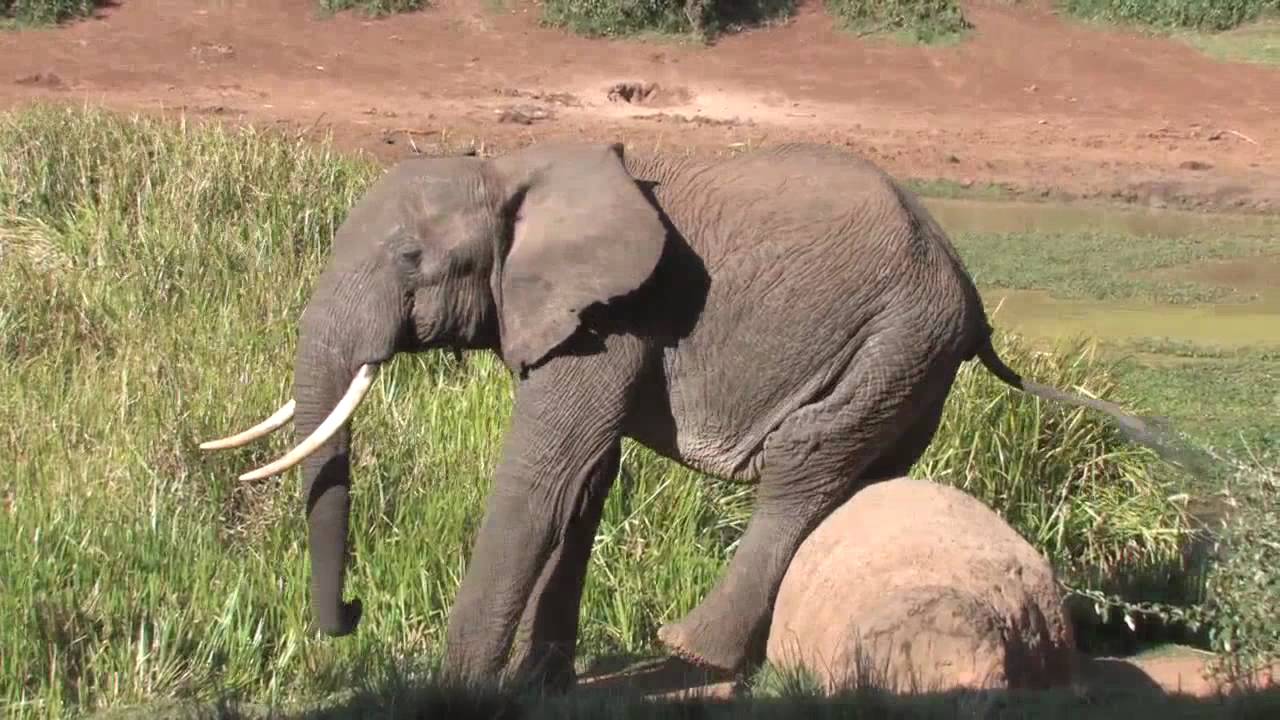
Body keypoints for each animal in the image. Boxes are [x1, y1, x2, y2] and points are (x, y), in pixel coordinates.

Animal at [200, 141, 1197, 692]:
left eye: (412, 258)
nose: (354, 613)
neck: (511, 168)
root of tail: (971, 294)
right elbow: (586, 483)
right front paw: (539, 682)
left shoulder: (612, 316)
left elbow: (544, 478)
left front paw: (457, 692)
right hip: (910, 359)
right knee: (864, 471)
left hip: (899, 335)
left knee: (806, 464)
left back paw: (690, 651)